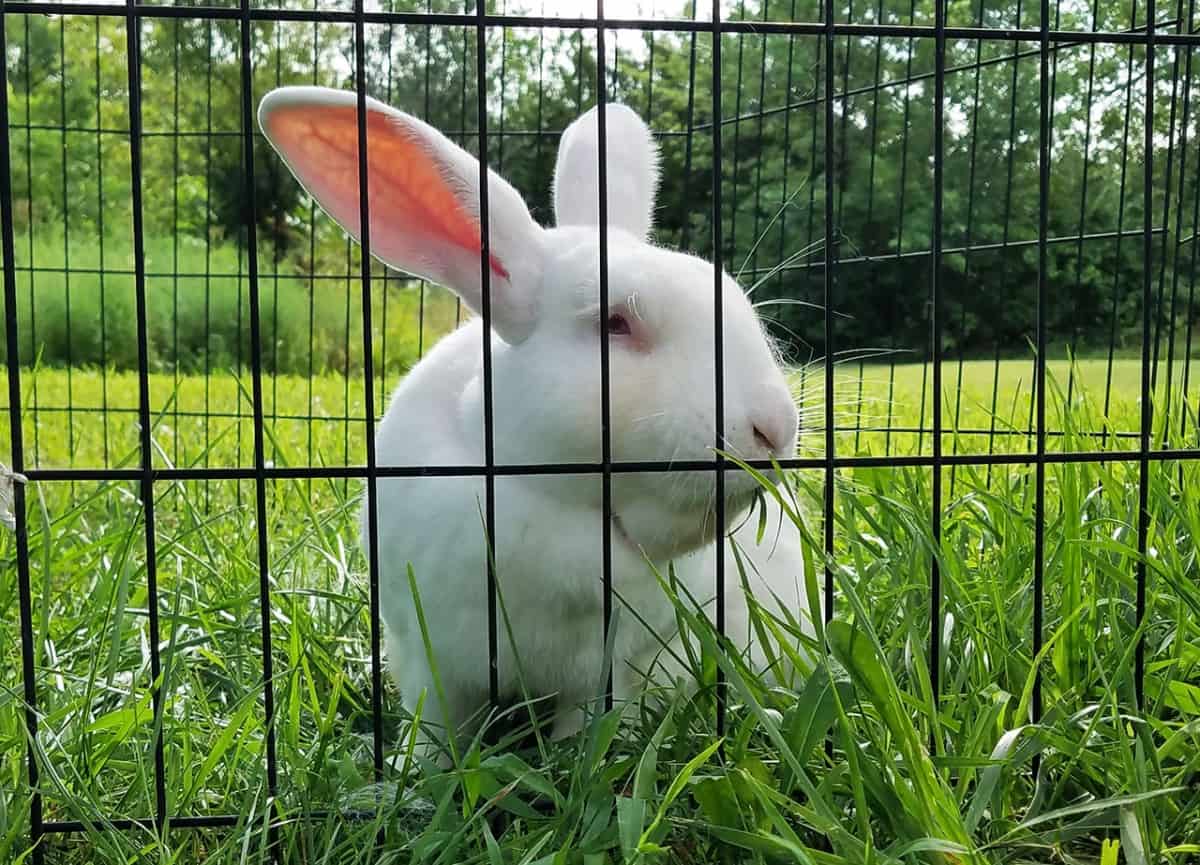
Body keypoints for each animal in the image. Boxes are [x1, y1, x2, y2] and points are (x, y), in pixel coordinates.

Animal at [257, 86, 816, 756]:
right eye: (614, 323)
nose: (774, 429)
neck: (536, 492)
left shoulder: (615, 669)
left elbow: (592, 730)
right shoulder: (427, 661)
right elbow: (437, 732)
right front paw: (415, 769)